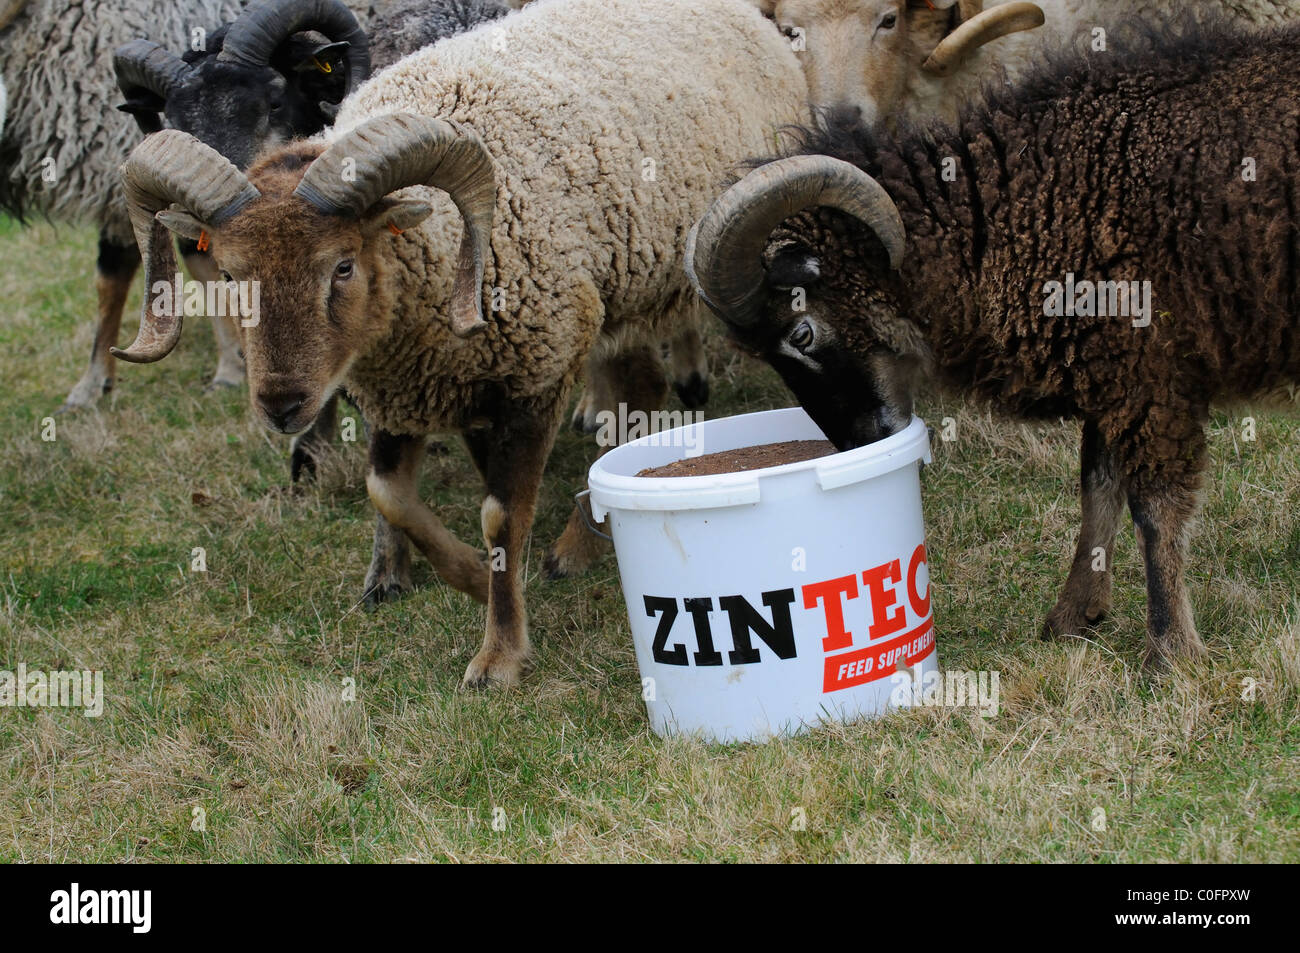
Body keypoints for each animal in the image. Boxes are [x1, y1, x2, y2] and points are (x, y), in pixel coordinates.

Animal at [111, 0, 806, 686]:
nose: (281, 406)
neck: (444, 249)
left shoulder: (536, 373)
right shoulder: (417, 390)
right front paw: (473, 575)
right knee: (637, 393)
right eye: (230, 275)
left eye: (342, 266)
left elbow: (500, 513)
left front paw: (499, 654)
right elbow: (389, 494)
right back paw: (577, 541)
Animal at [685, 17, 1300, 672]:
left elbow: (1153, 511)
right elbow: (1096, 488)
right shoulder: (1114, 373)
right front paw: (1073, 617)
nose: (863, 443)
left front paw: (1169, 653)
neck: (1022, 207)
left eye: (801, 332)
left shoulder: (1149, 378)